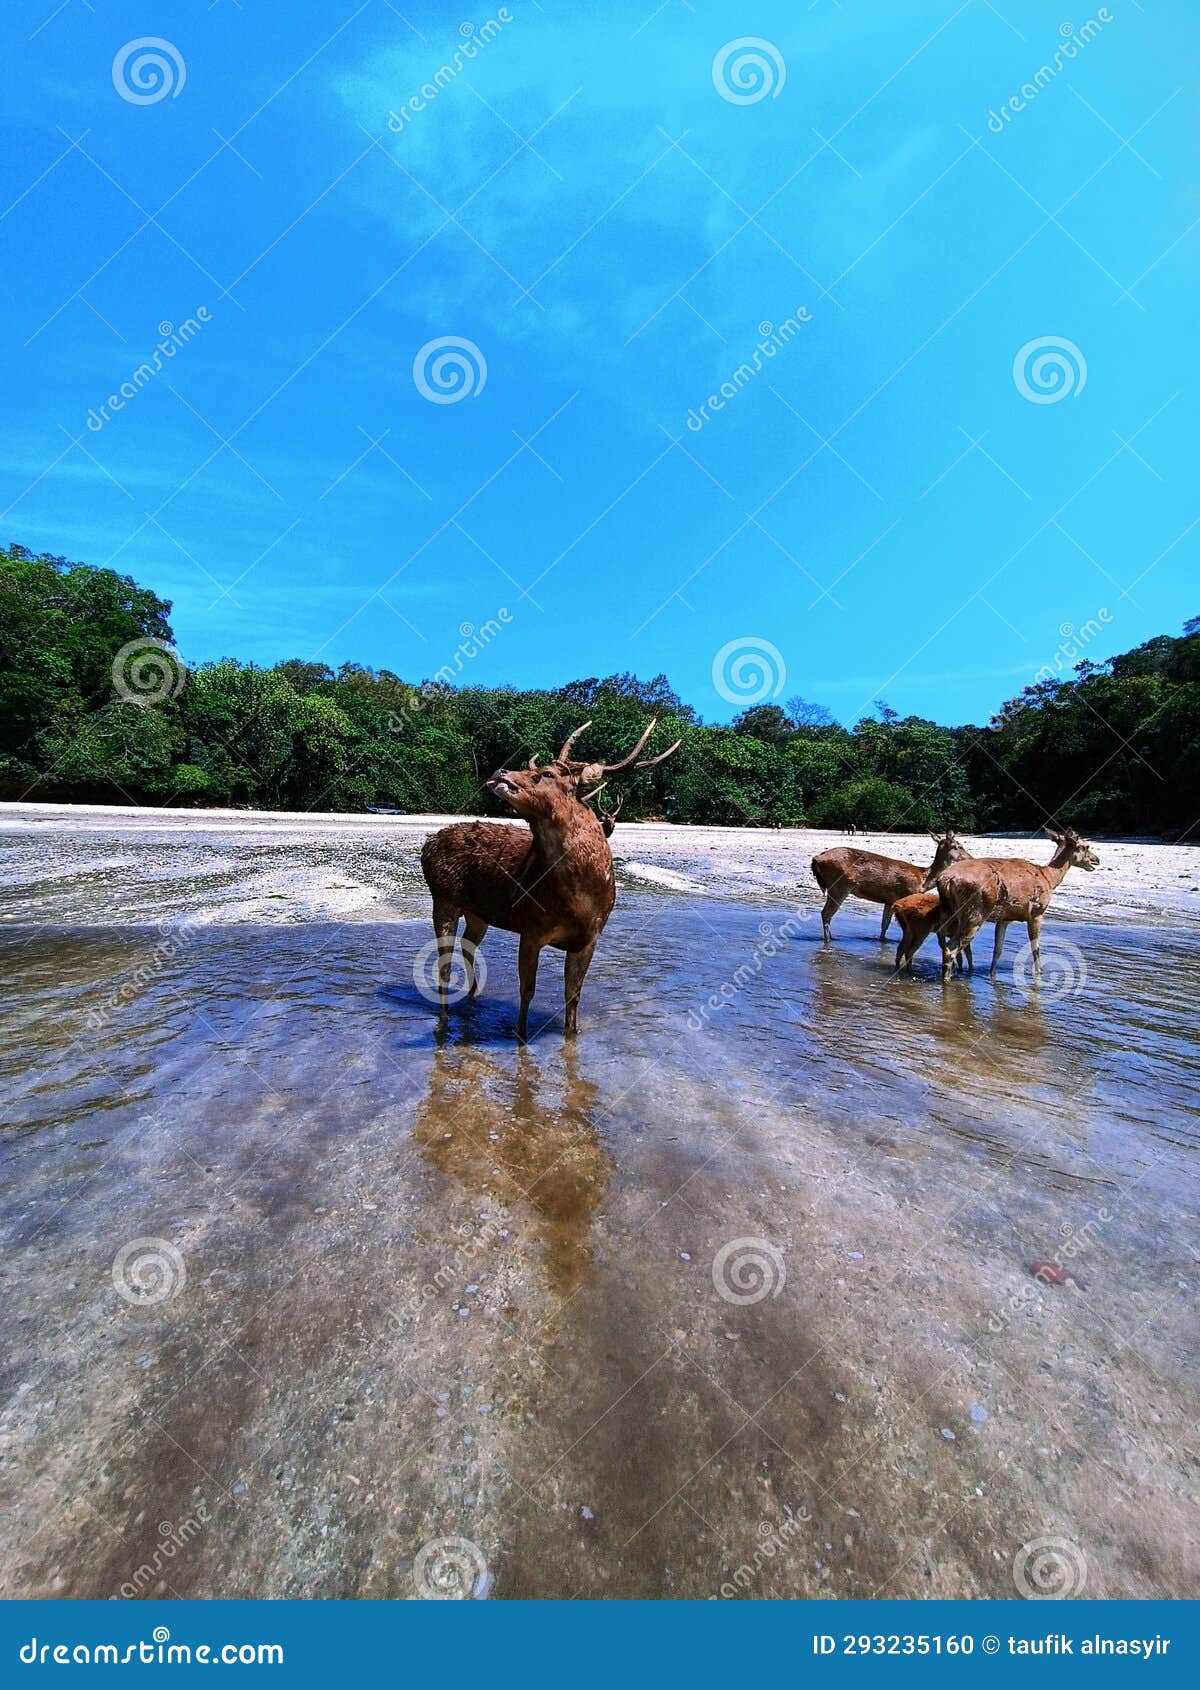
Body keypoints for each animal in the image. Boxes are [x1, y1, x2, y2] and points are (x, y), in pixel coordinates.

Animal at [419, 720, 680, 1039]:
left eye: (547, 774)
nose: (500, 771)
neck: (578, 901)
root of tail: (428, 844)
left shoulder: (589, 939)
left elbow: (573, 995)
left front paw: (572, 1035)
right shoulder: (531, 927)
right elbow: (527, 990)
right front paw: (520, 1036)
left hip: (477, 913)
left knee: (468, 948)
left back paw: (472, 1000)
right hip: (443, 897)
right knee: (444, 965)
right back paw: (443, 1024)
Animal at [811, 831, 970, 943]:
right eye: (958, 846)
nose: (970, 858)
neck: (923, 880)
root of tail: (816, 858)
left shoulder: (889, 900)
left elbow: (884, 925)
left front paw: (882, 941)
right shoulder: (903, 896)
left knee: (827, 914)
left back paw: (832, 937)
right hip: (840, 885)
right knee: (826, 913)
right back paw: (828, 941)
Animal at [927, 826, 1099, 981]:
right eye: (1084, 846)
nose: (1096, 859)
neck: (1050, 878)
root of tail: (945, 880)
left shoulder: (1005, 919)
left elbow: (998, 950)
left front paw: (993, 974)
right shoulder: (1036, 912)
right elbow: (1035, 947)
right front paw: (1039, 973)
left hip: (948, 911)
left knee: (942, 939)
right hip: (975, 913)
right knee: (951, 948)